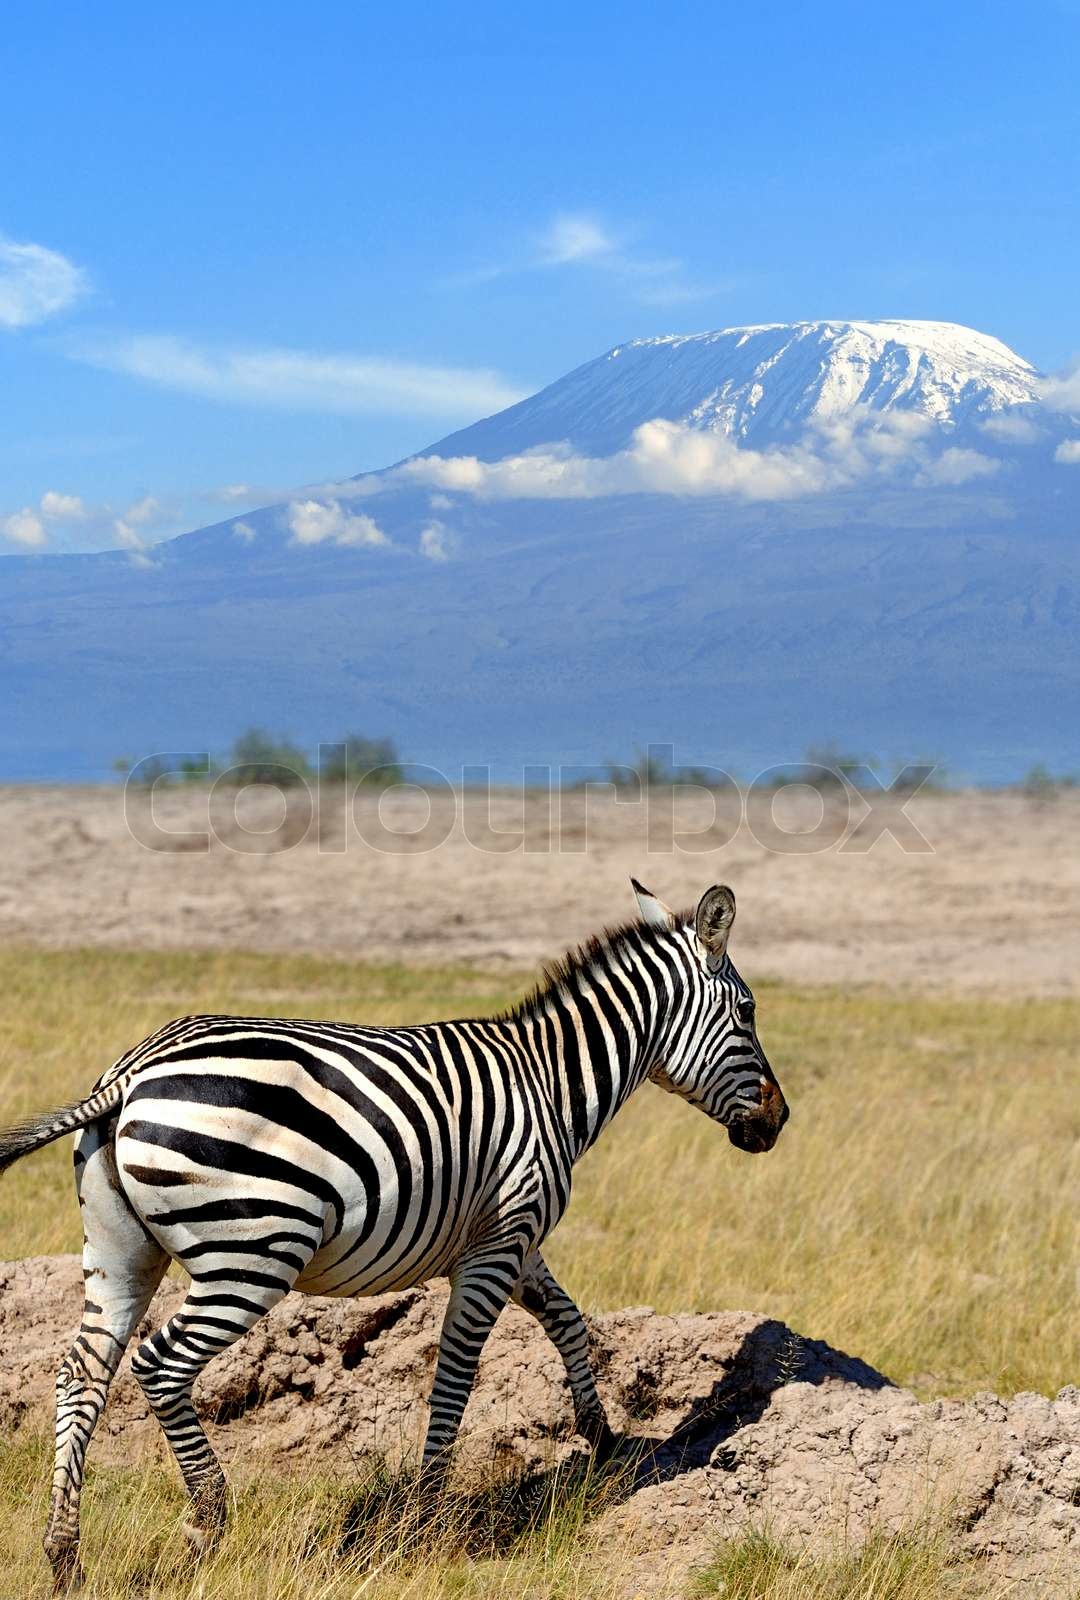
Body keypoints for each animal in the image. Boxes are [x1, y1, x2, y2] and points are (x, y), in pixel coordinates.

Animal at [0, 879, 787, 1591]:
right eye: (748, 1012)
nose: (778, 1122)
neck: (551, 1083)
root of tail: (132, 1074)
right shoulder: (498, 1244)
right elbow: (457, 1372)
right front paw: (428, 1511)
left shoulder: (510, 1239)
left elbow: (567, 1320)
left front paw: (600, 1437)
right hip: (251, 1253)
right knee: (160, 1364)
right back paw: (205, 1525)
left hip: (121, 1251)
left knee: (82, 1372)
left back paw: (64, 1556)